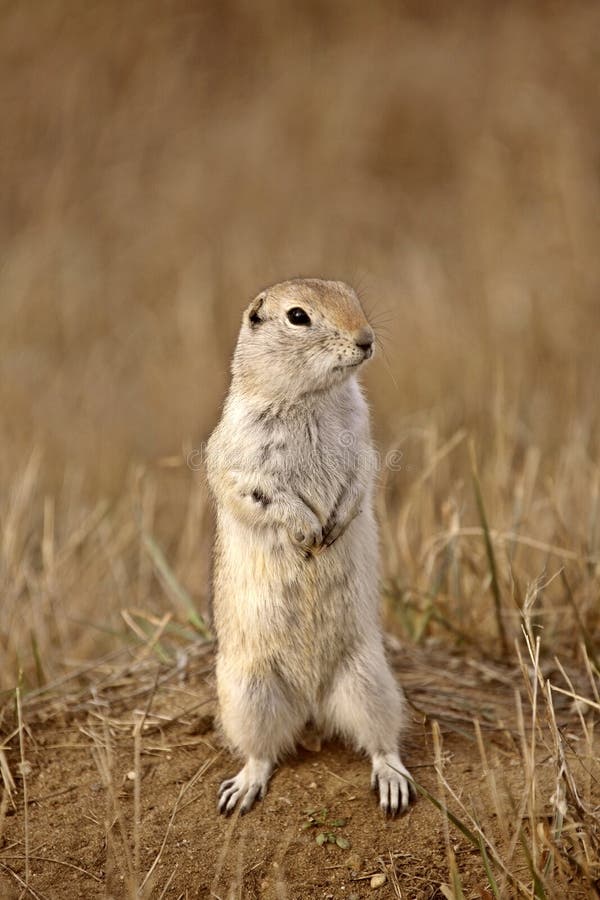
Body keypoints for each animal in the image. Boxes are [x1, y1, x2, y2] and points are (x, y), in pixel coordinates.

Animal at [206, 278, 413, 817]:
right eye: (297, 316)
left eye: (352, 295)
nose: (366, 339)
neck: (310, 399)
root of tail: (312, 701)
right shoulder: (242, 463)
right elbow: (263, 495)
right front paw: (309, 535)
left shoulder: (363, 442)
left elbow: (359, 479)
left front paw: (333, 527)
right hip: (248, 693)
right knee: (261, 752)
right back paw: (240, 792)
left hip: (370, 680)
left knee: (381, 741)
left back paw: (393, 786)